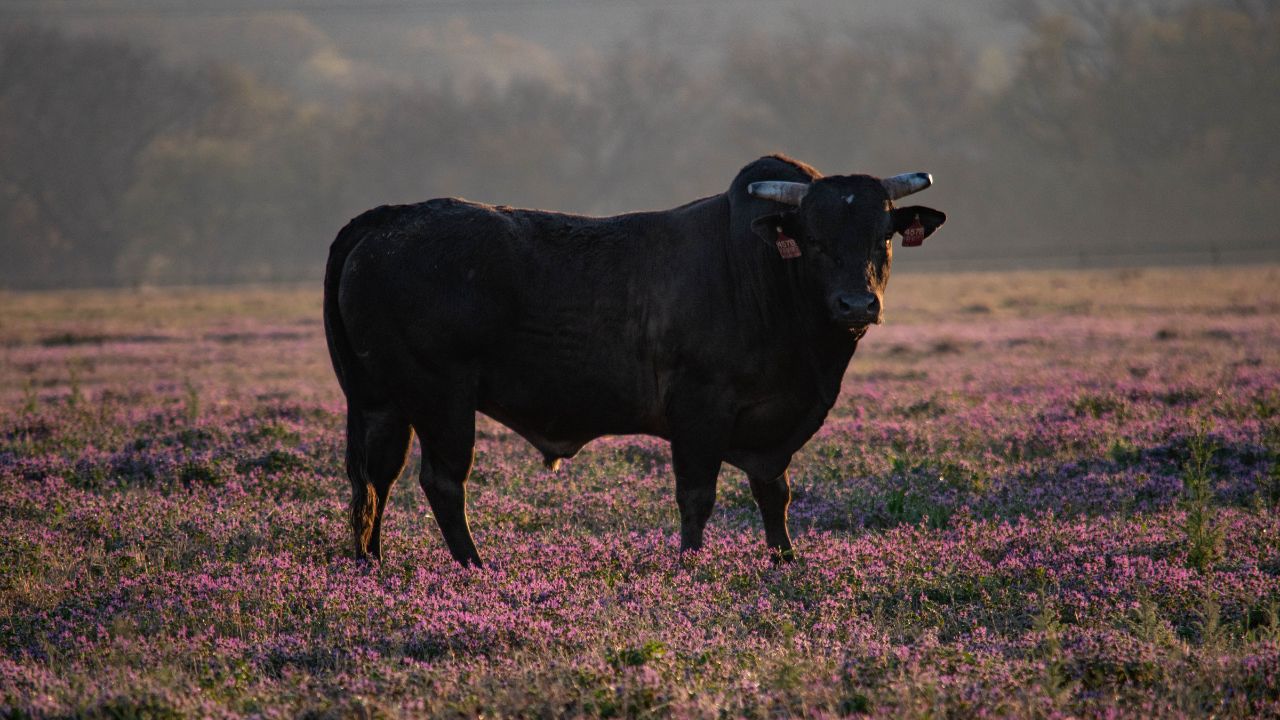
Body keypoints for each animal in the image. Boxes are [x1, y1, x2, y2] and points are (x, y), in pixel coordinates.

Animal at [324, 154, 945, 566]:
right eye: (813, 239)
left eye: (883, 236)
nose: (857, 304)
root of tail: (389, 219)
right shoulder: (700, 411)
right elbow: (697, 496)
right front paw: (691, 567)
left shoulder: (770, 428)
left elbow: (776, 495)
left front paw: (785, 561)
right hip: (440, 398)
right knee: (442, 481)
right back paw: (475, 567)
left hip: (380, 401)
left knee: (373, 479)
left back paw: (371, 564)